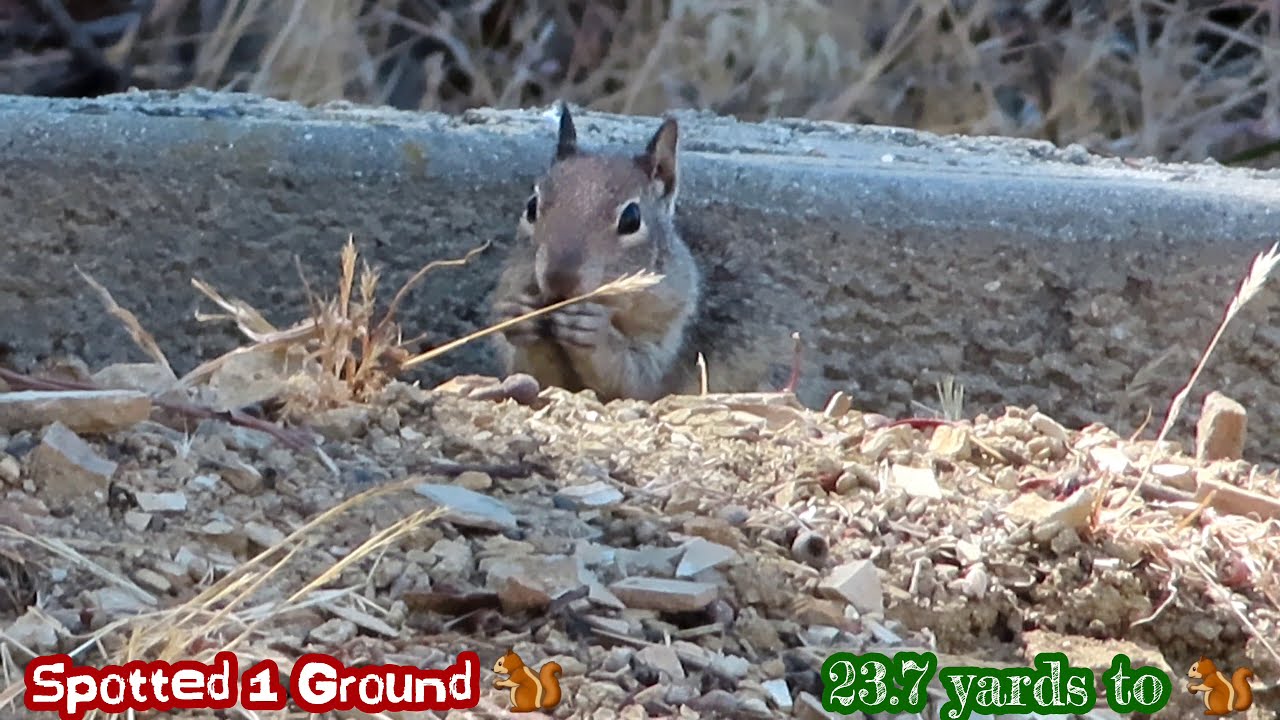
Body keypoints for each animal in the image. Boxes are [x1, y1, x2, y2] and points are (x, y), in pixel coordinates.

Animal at [488, 103, 800, 404]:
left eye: (631, 219)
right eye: (531, 206)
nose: (559, 278)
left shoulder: (673, 333)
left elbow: (634, 381)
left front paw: (597, 332)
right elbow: (531, 373)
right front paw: (520, 316)